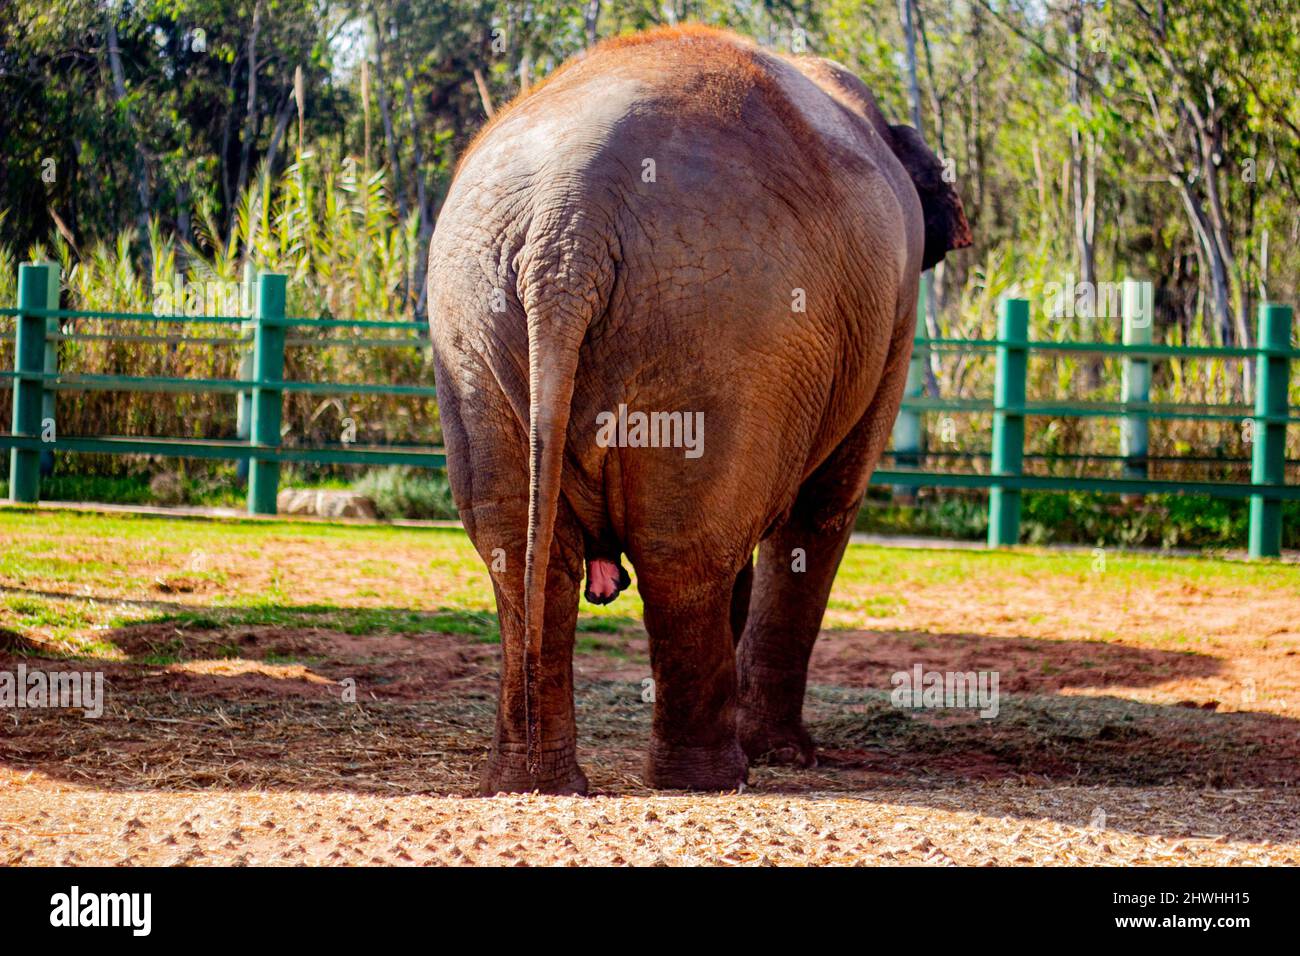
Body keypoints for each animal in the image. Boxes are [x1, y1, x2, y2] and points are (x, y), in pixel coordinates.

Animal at [427, 24, 972, 794]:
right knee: (683, 554)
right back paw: (713, 777)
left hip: (474, 320)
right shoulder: (891, 326)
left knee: (523, 549)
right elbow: (822, 511)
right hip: (721, 329)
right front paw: (788, 756)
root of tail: (570, 222)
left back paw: (535, 782)